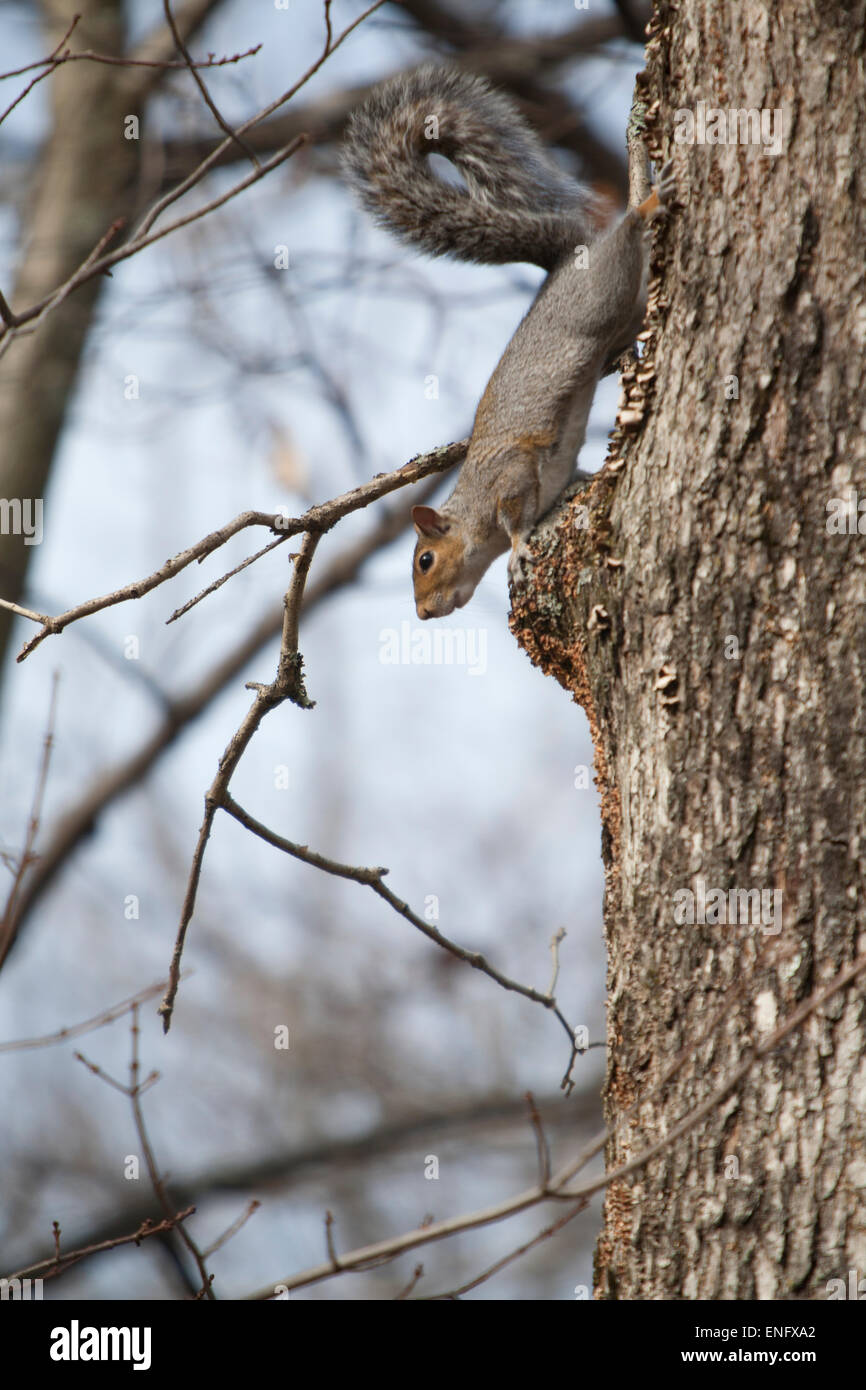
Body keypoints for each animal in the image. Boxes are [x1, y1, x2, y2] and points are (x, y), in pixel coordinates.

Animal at [342, 64, 674, 620]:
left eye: (425, 561)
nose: (423, 614)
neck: (474, 511)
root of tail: (567, 262)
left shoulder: (508, 480)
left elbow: (517, 520)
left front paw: (517, 552)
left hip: (602, 292)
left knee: (626, 230)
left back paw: (649, 201)